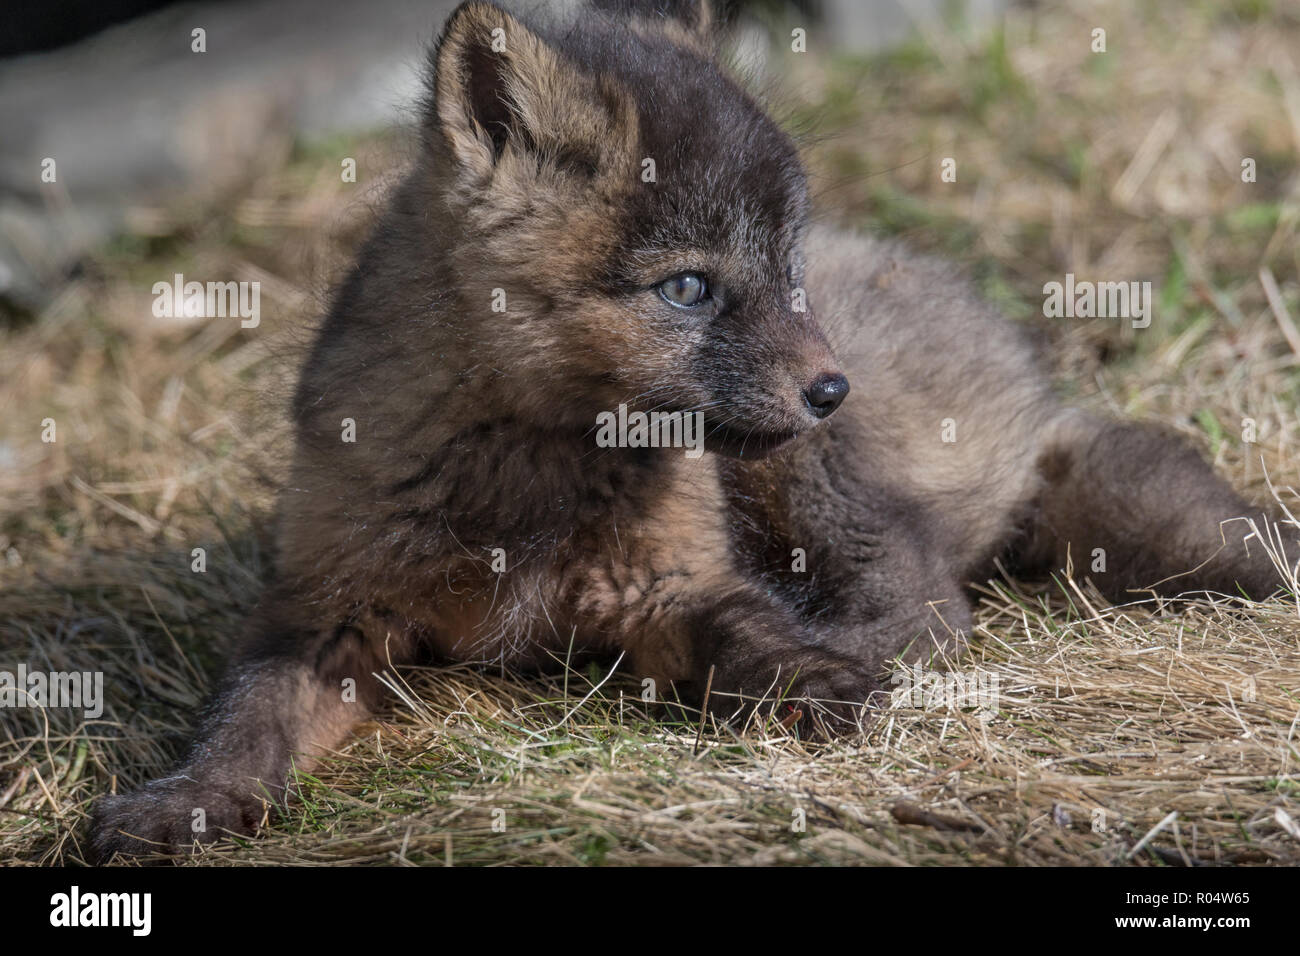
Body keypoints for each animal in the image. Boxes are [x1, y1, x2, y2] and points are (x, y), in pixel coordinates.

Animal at [91, 0, 1286, 859]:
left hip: (802, 479)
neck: (529, 479)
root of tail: (1024, 373)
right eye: (688, 289)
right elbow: (243, 716)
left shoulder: (673, 589)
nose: (831, 385)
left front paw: (822, 691)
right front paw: (186, 799)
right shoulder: (324, 611)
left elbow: (762, 641)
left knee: (932, 607)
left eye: (783, 267)